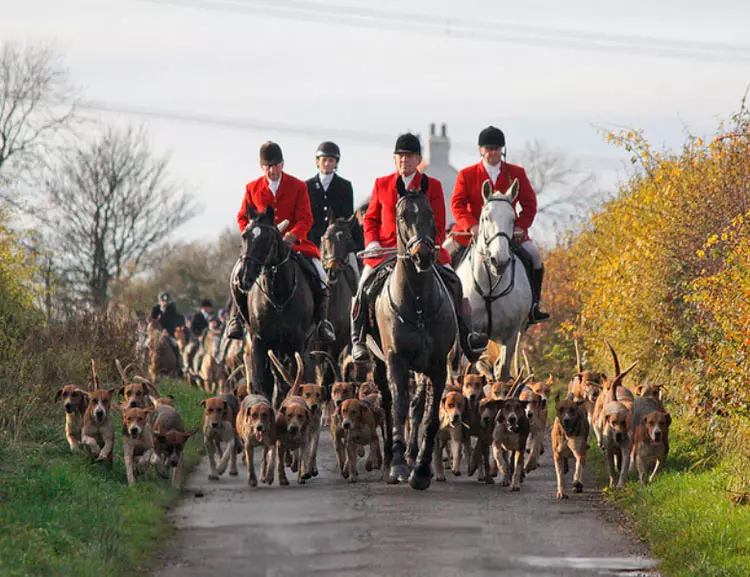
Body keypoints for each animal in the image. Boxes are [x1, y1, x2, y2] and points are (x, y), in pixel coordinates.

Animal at [241, 205, 318, 408]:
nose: (245, 277)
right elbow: (260, 383)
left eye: (267, 237)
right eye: (244, 235)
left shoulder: (297, 342)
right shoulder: (258, 341)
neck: (278, 298)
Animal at [366, 181, 456, 490]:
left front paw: (421, 470)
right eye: (403, 215)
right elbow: (399, 408)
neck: (417, 302)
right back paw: (388, 462)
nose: (423, 255)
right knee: (388, 403)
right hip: (379, 363)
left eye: (431, 213)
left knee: (417, 406)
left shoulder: (438, 366)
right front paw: (398, 466)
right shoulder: (396, 361)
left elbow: (429, 417)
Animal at [458, 178, 536, 380]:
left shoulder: (510, 335)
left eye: (513, 219)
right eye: (486, 218)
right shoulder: (471, 336)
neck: (490, 286)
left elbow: (502, 371)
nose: (499, 261)